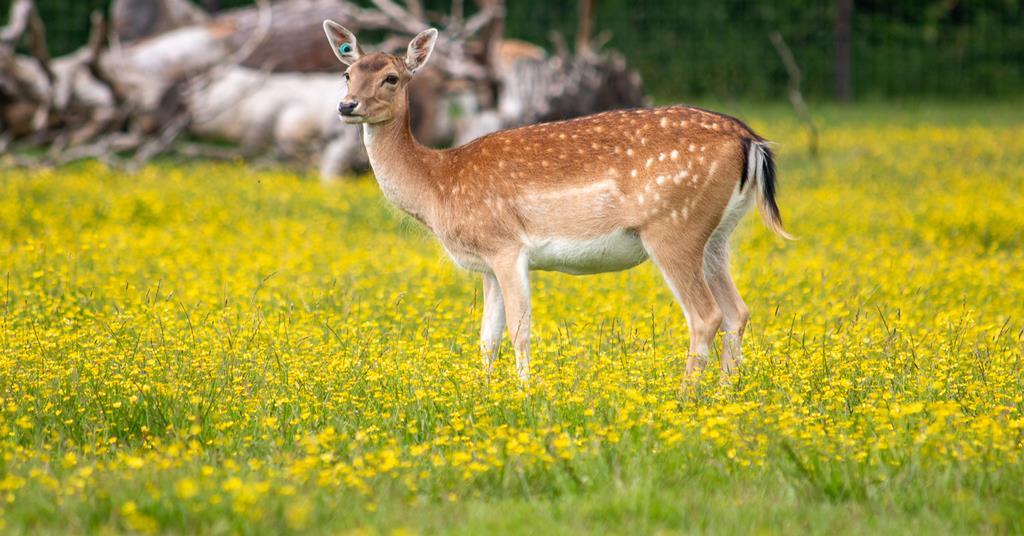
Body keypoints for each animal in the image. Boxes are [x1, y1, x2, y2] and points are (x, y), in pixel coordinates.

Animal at [323, 22, 792, 384]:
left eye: (391, 77)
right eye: (347, 73)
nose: (346, 106)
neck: (438, 184)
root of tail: (750, 140)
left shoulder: (507, 246)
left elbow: (519, 330)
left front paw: (524, 394)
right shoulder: (486, 262)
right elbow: (487, 337)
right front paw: (485, 395)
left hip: (673, 226)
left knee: (706, 316)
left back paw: (685, 398)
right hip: (717, 235)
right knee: (737, 311)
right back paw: (724, 395)